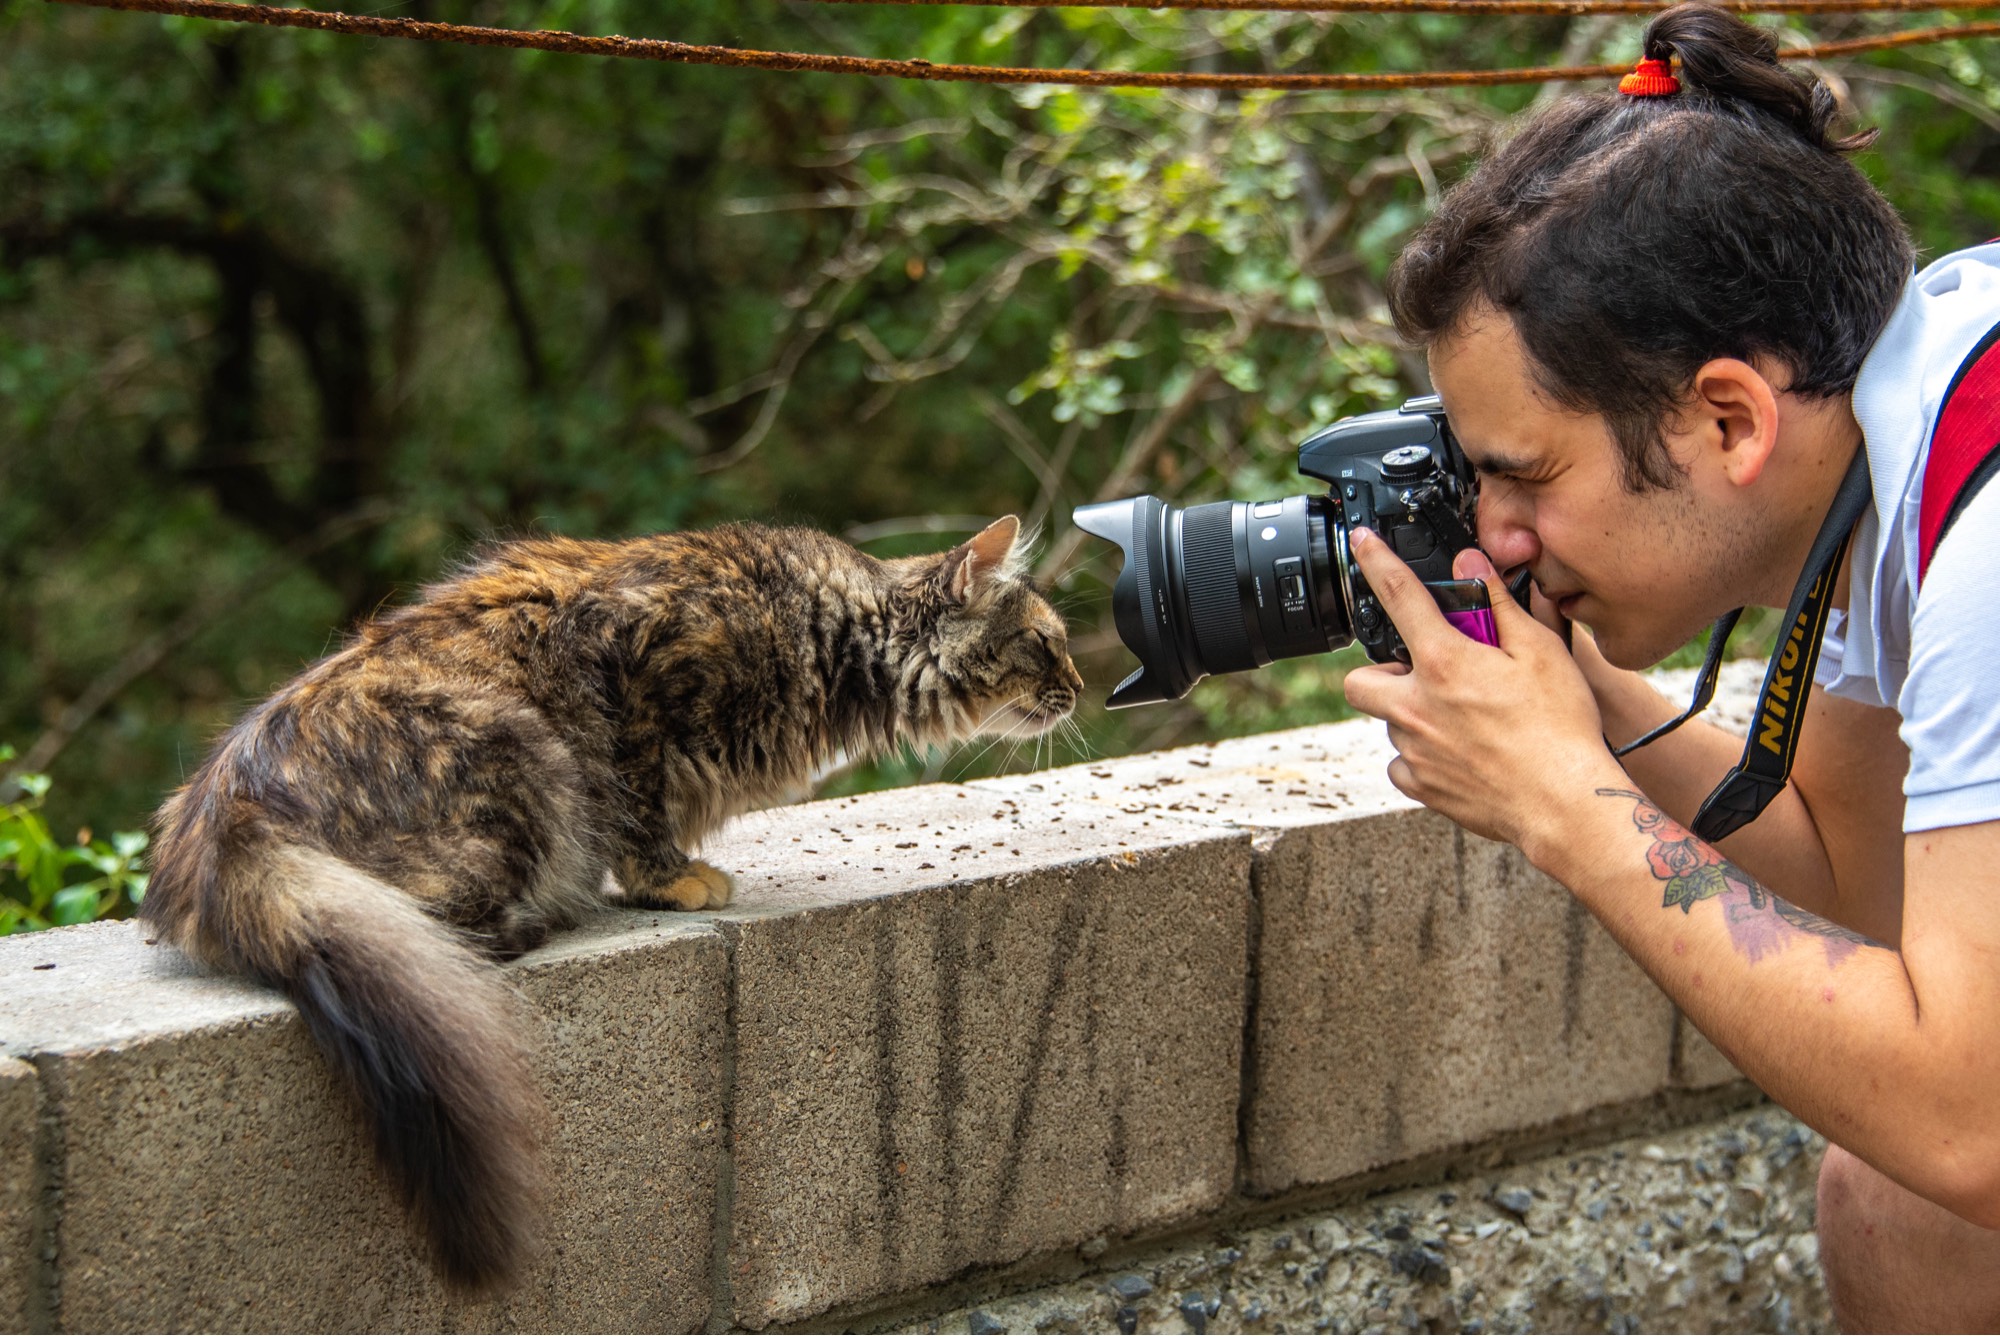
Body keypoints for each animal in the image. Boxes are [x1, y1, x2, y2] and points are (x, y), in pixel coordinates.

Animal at [141, 516, 1080, 1296]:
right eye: (1046, 644)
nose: (1079, 687)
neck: (835, 635)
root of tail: (218, 824)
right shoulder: (638, 671)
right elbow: (638, 800)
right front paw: (672, 877)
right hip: (523, 755)